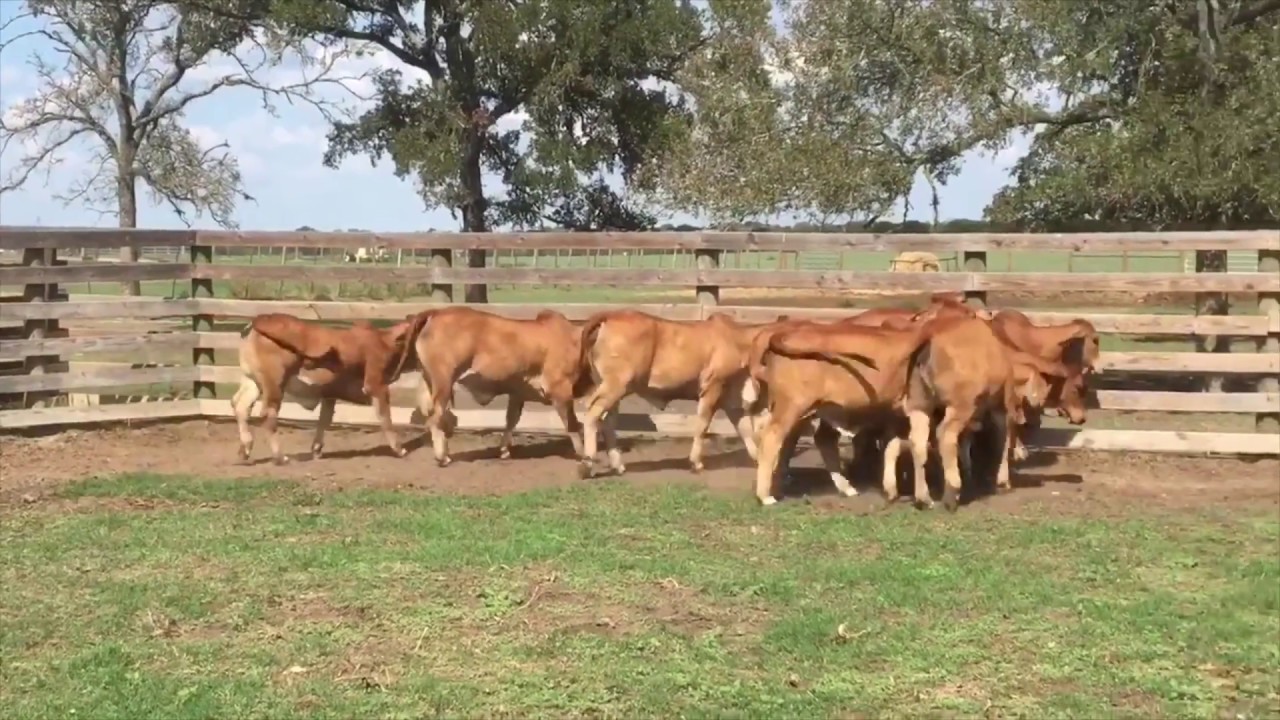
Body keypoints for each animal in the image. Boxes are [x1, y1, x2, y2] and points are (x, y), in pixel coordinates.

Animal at [232, 313, 420, 465]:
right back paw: (280, 457)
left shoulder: (330, 393)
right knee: (268, 414)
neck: (384, 341)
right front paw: (399, 449)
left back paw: (245, 450)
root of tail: (263, 318)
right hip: (275, 384)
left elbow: (325, 419)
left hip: (252, 381)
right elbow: (386, 418)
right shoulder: (376, 386)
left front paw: (316, 449)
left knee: (240, 405)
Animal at [406, 307, 588, 467]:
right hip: (443, 382)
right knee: (434, 419)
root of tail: (436, 313)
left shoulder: (518, 393)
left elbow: (511, 420)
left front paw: (504, 451)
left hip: (431, 382)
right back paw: (442, 457)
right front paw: (583, 454)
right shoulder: (560, 389)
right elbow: (572, 423)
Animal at [575, 310, 784, 479]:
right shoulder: (712, 387)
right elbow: (702, 426)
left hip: (614, 387)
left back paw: (617, 465)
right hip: (616, 385)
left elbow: (744, 429)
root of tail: (611, 314)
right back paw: (587, 464)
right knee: (592, 413)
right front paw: (696, 463)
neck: (740, 341)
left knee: (607, 421)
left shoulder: (731, 399)